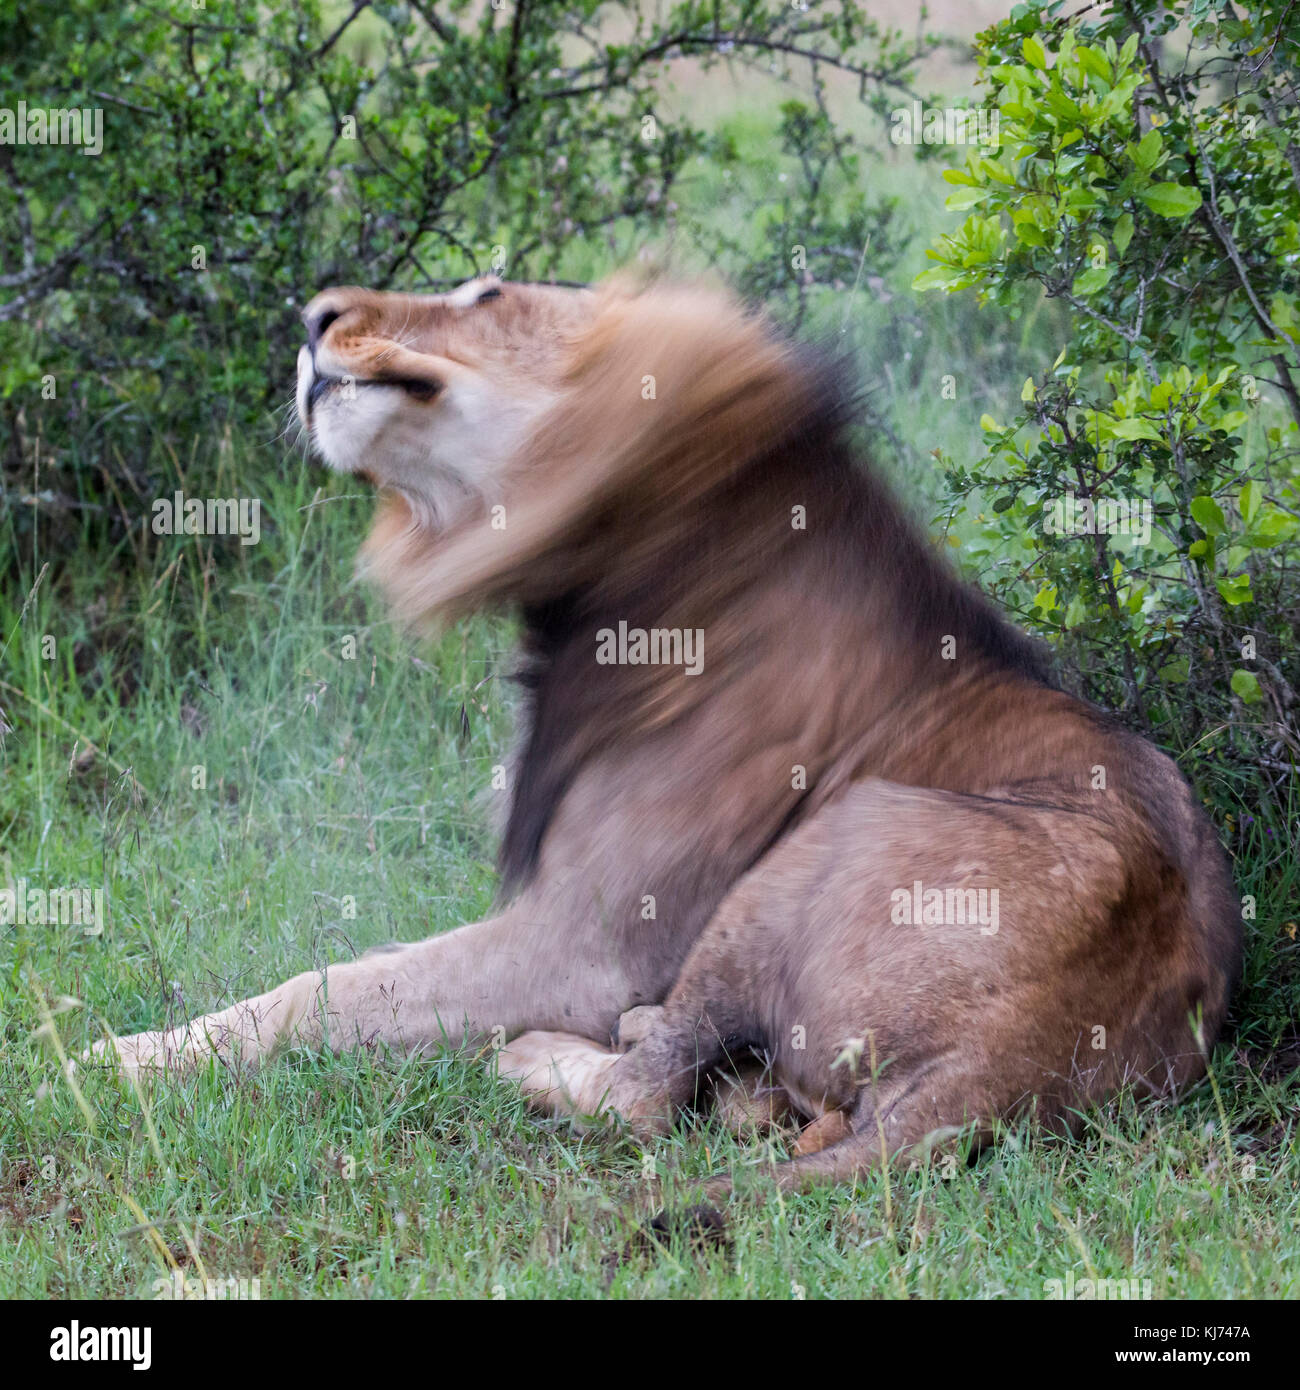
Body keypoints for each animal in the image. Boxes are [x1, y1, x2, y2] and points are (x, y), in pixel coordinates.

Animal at [86, 273, 1241, 1197]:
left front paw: (119, 1056)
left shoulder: (585, 944)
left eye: (487, 292)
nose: (313, 317)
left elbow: (325, 992)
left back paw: (539, 1057)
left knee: (642, 1094)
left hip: (820, 842)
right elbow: (359, 970)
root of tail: (999, 1064)